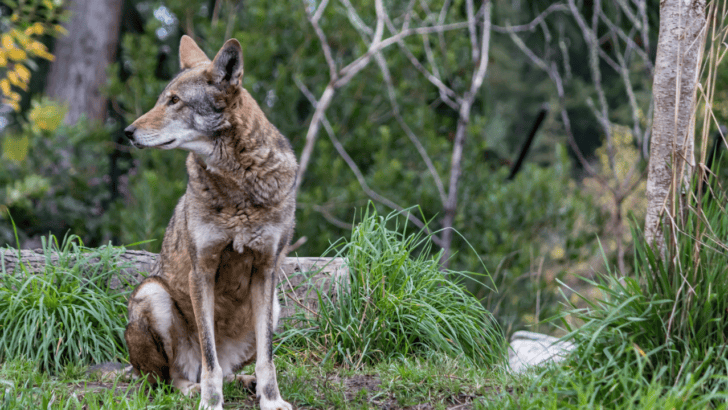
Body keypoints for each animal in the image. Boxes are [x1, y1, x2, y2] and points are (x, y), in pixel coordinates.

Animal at [123, 35, 297, 410]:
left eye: (174, 101)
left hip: (276, 306)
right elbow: (210, 358)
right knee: (172, 377)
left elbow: (267, 359)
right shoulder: (201, 269)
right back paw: (191, 389)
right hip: (152, 294)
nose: (127, 132)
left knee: (231, 368)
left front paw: (271, 400)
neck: (238, 187)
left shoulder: (266, 270)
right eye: (162, 99)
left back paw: (245, 382)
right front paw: (211, 402)